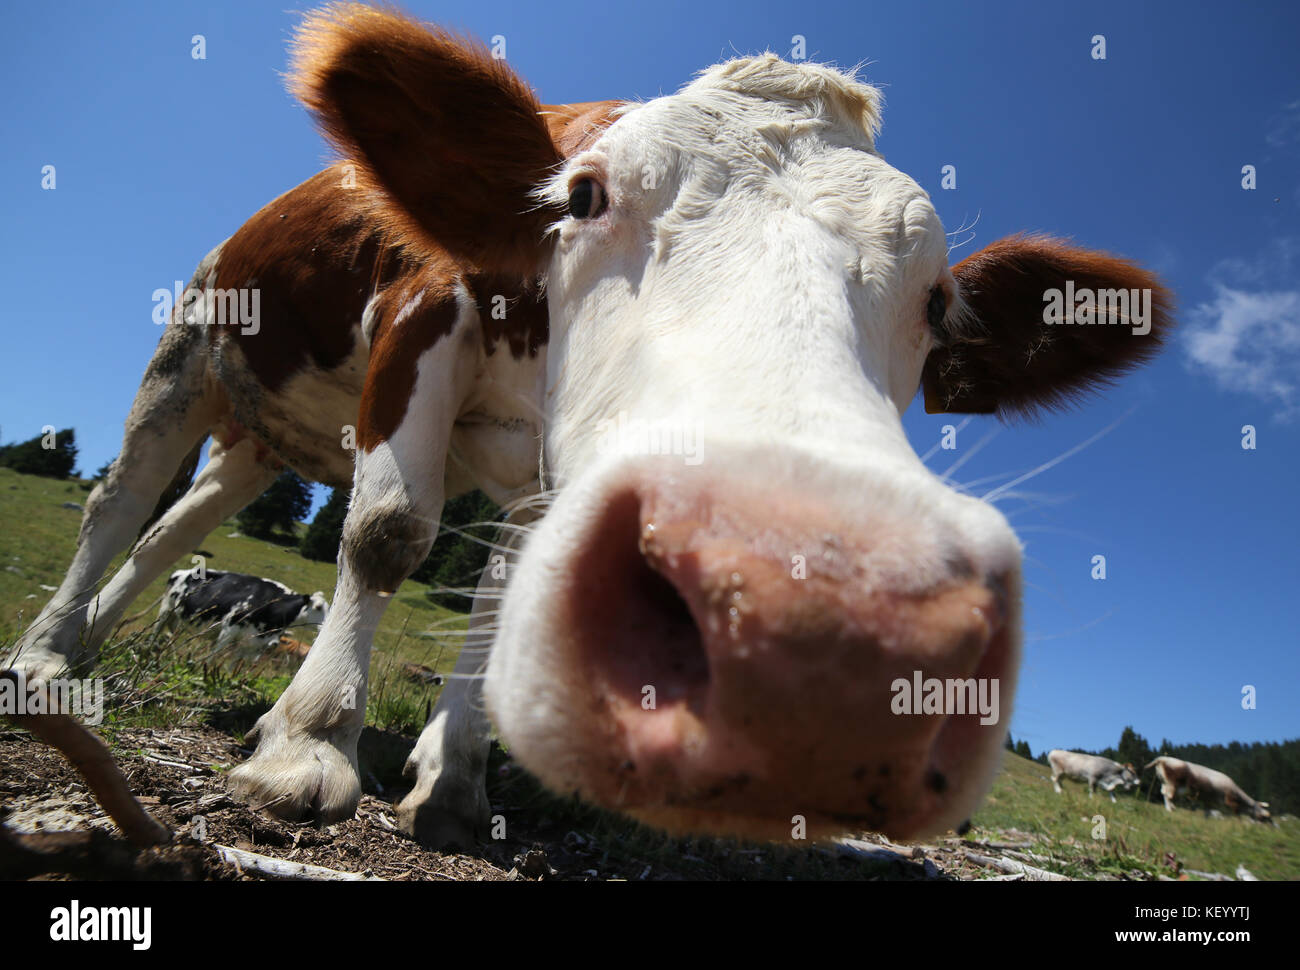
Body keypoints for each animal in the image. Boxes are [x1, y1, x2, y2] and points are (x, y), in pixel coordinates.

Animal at [158, 568, 329, 649]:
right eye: (318, 607)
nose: (324, 626)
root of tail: (182, 572)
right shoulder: (229, 629)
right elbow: (214, 657)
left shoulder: (253, 643)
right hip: (165, 609)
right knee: (156, 631)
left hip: (177, 618)